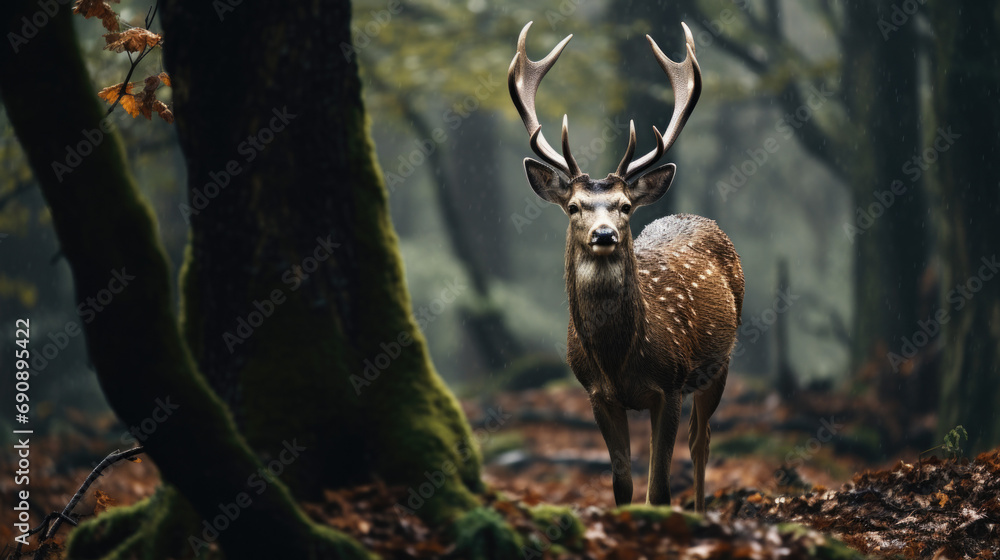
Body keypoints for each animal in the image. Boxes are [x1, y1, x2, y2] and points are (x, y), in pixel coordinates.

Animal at [508, 22, 744, 513]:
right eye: (574, 206)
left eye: (625, 206)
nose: (604, 235)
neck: (618, 357)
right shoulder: (597, 394)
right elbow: (623, 486)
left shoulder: (670, 385)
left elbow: (659, 489)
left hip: (721, 361)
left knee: (702, 440)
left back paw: (701, 511)